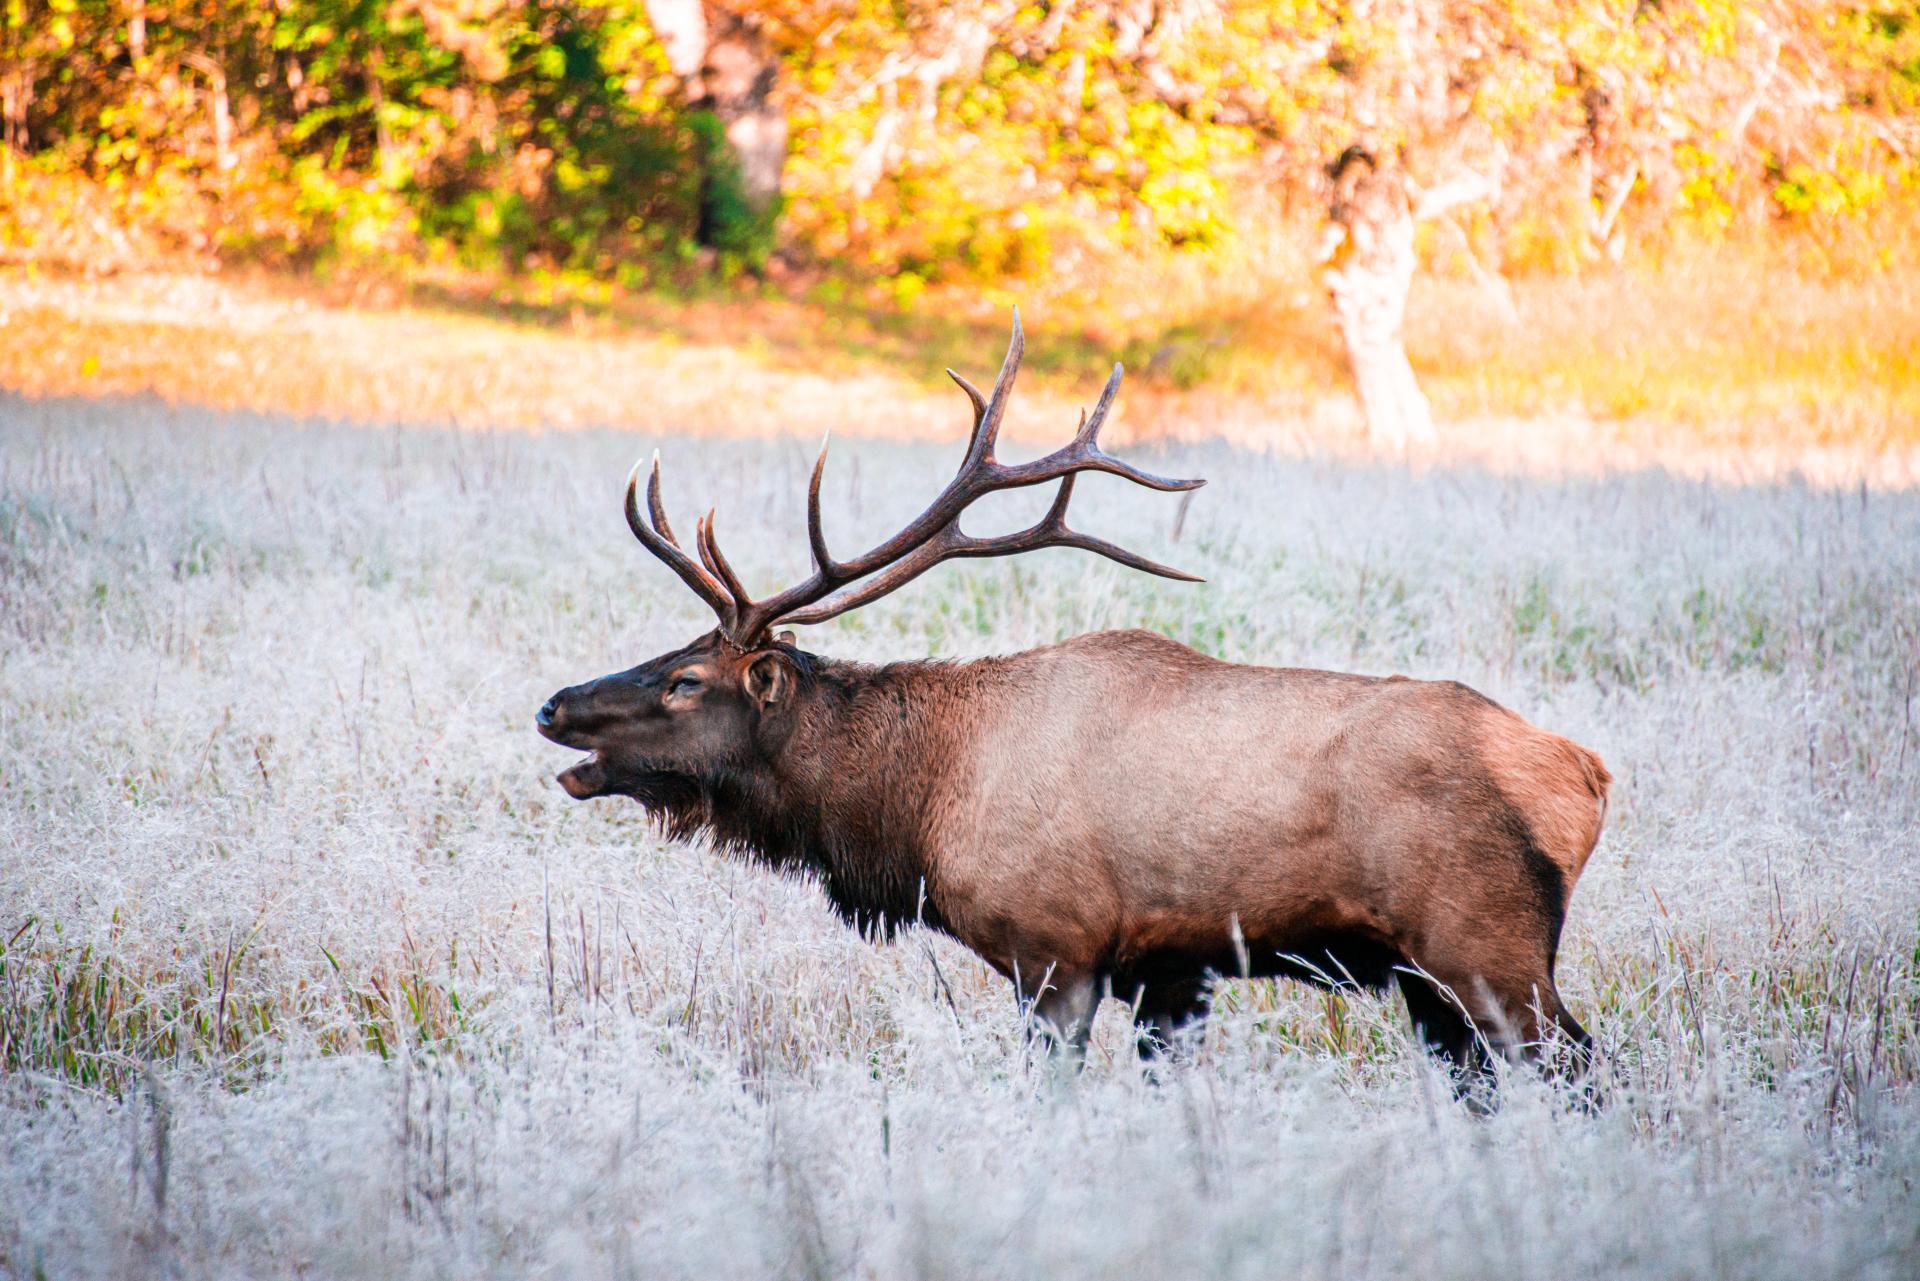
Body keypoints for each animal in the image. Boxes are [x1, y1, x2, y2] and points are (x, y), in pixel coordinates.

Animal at [536, 313, 1611, 1091]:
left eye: (685, 681)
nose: (553, 705)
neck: (914, 811)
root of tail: (1586, 775)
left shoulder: (1054, 946)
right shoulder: (1176, 972)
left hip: (1488, 945)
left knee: (1583, 1067)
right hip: (1432, 983)